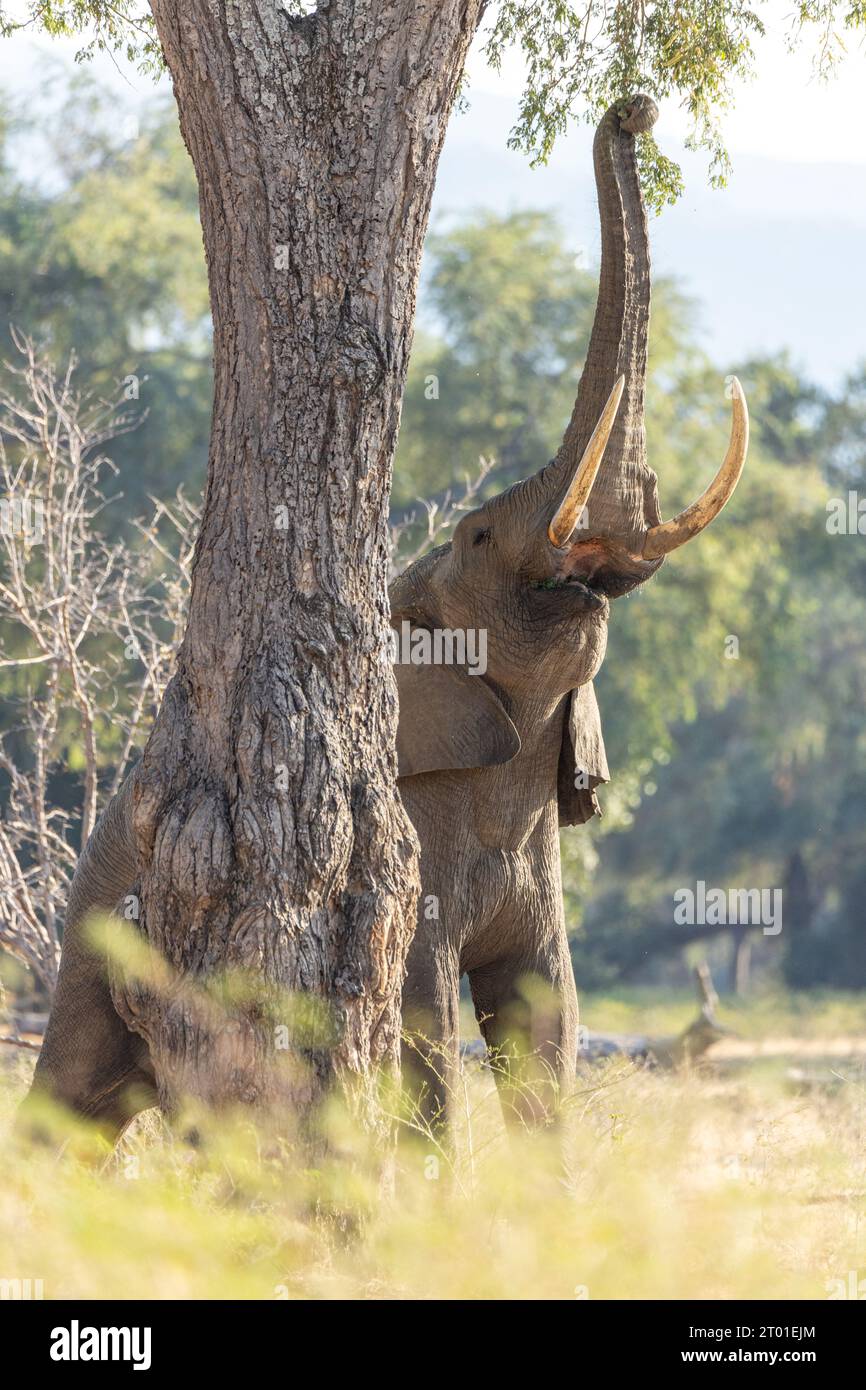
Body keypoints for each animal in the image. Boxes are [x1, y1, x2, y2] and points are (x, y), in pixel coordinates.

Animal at [20, 95, 748, 1143]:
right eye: (479, 536)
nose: (633, 110)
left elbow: (550, 1012)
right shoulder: (417, 820)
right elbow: (425, 1009)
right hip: (101, 914)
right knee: (71, 1091)